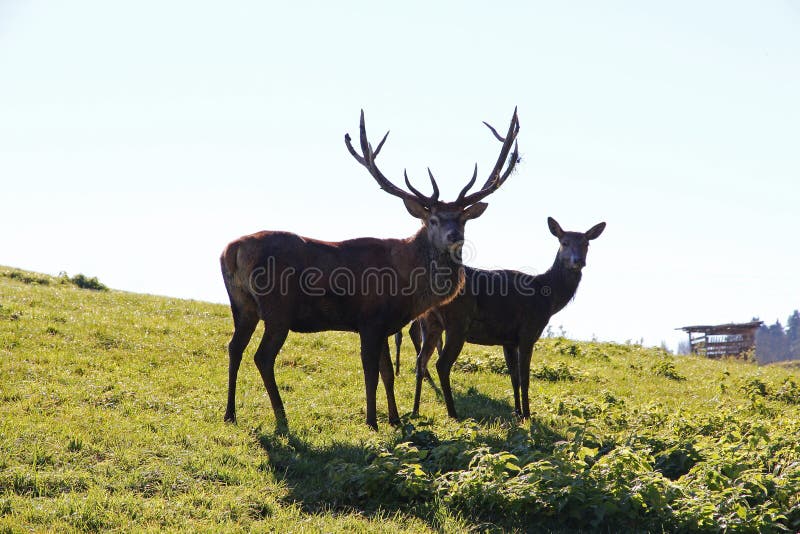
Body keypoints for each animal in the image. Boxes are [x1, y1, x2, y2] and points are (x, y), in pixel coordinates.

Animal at [220, 109, 520, 430]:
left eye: (463, 219)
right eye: (433, 220)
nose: (455, 236)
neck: (408, 287)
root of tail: (232, 250)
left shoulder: (386, 325)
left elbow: (387, 372)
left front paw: (395, 418)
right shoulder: (369, 319)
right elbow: (370, 371)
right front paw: (372, 422)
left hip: (242, 305)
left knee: (234, 347)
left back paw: (230, 413)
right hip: (277, 309)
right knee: (262, 357)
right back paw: (281, 416)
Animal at [409, 217, 606, 420]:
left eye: (586, 243)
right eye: (564, 242)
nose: (578, 261)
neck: (548, 298)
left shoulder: (508, 340)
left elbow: (514, 377)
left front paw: (517, 412)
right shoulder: (528, 331)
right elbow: (525, 378)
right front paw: (527, 415)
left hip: (430, 323)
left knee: (421, 360)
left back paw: (415, 410)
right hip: (457, 323)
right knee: (441, 364)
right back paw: (453, 413)